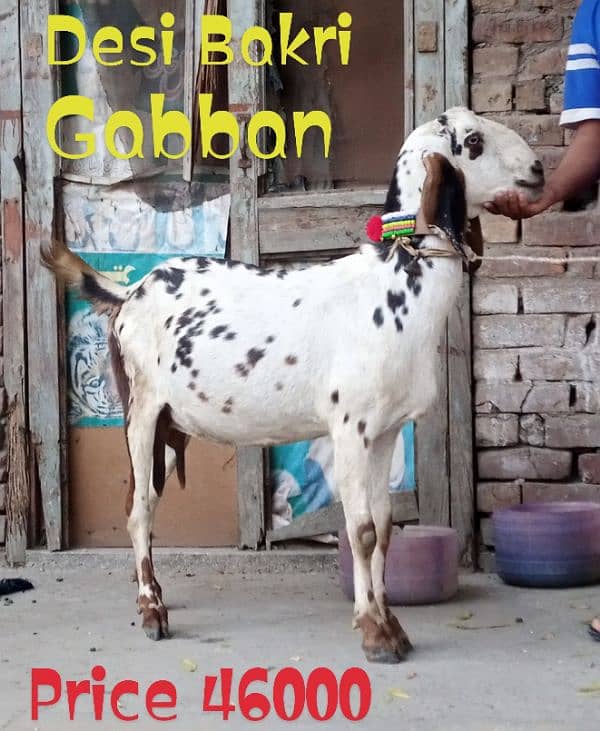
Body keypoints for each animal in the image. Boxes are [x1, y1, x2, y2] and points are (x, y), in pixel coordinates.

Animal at [44, 107, 543, 663]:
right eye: (473, 141)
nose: (539, 170)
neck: (395, 284)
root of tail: (129, 291)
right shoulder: (350, 428)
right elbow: (360, 531)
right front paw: (373, 632)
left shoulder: (386, 431)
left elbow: (384, 527)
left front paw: (392, 625)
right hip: (143, 410)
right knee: (139, 510)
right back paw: (153, 610)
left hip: (167, 429)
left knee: (140, 497)